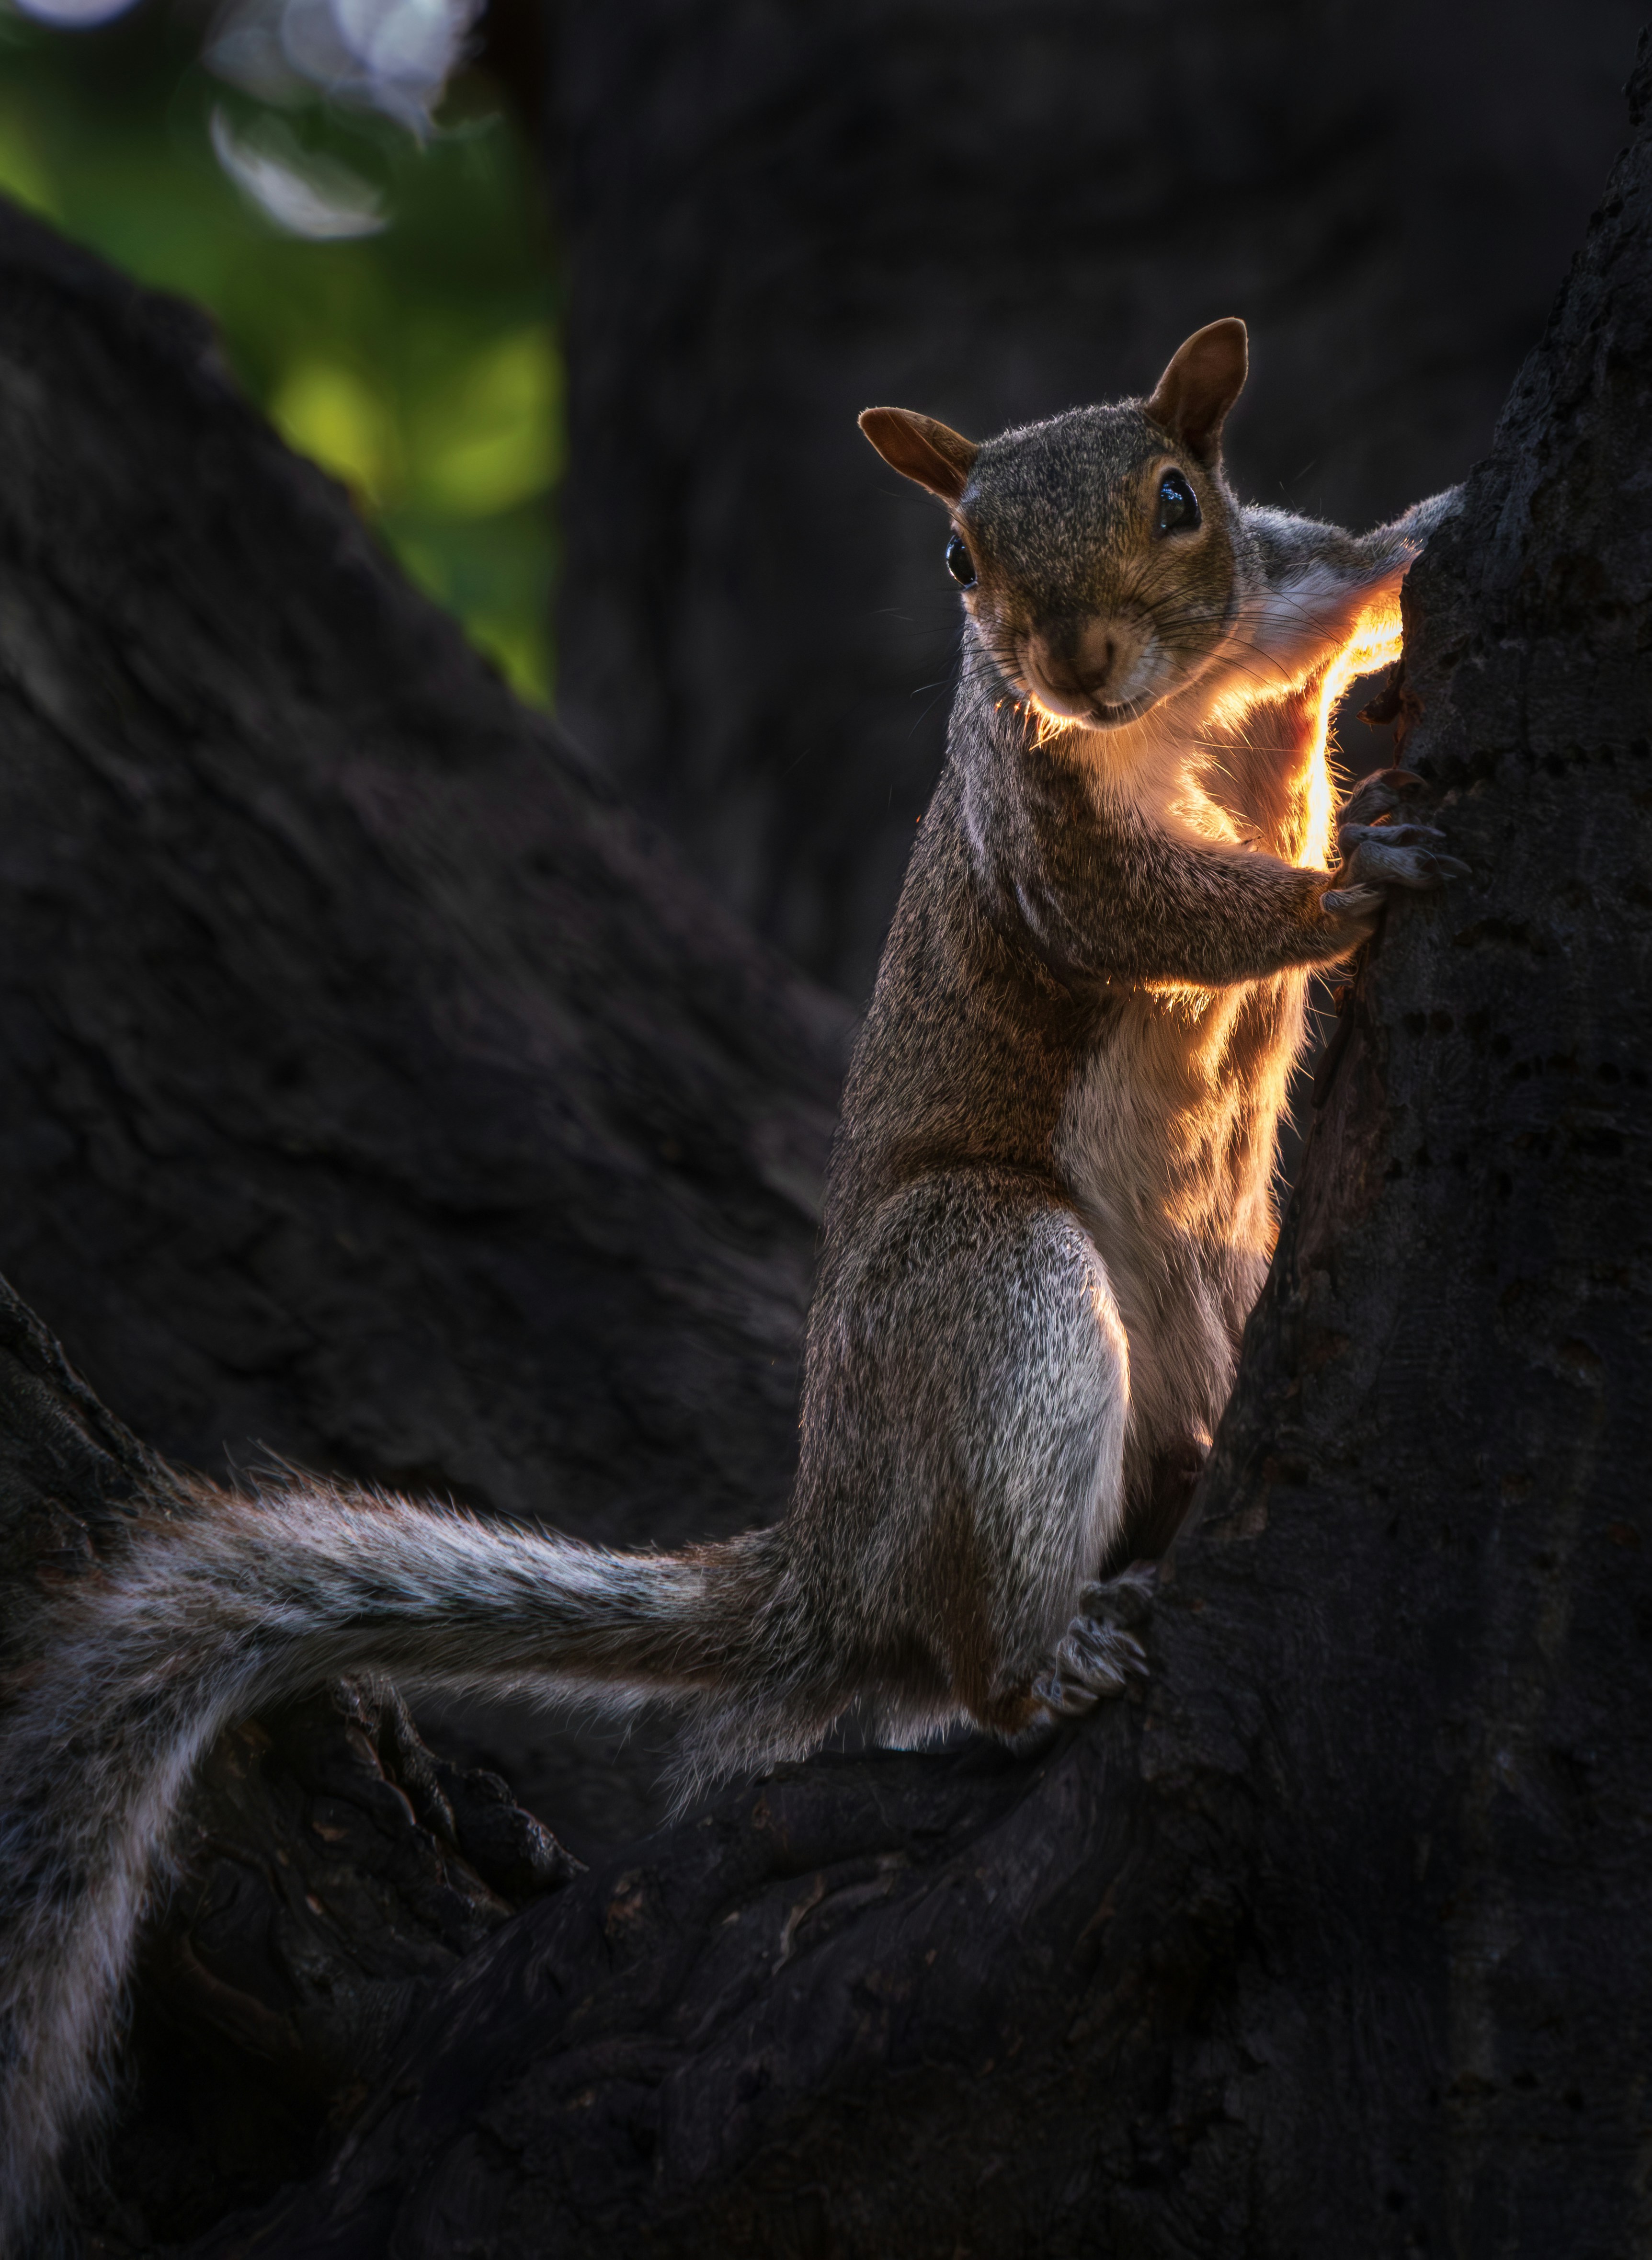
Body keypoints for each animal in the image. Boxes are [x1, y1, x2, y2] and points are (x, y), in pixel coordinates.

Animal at [0, 317, 1466, 2248]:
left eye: (1177, 497)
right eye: (958, 558)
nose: (1071, 663)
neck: (1172, 708)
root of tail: (836, 1544)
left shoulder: (1257, 606)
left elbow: (1333, 584)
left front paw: (1424, 531)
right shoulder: (1033, 827)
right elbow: (1147, 910)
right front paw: (1345, 881)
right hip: (982, 1276)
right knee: (979, 1640)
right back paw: (1044, 1654)